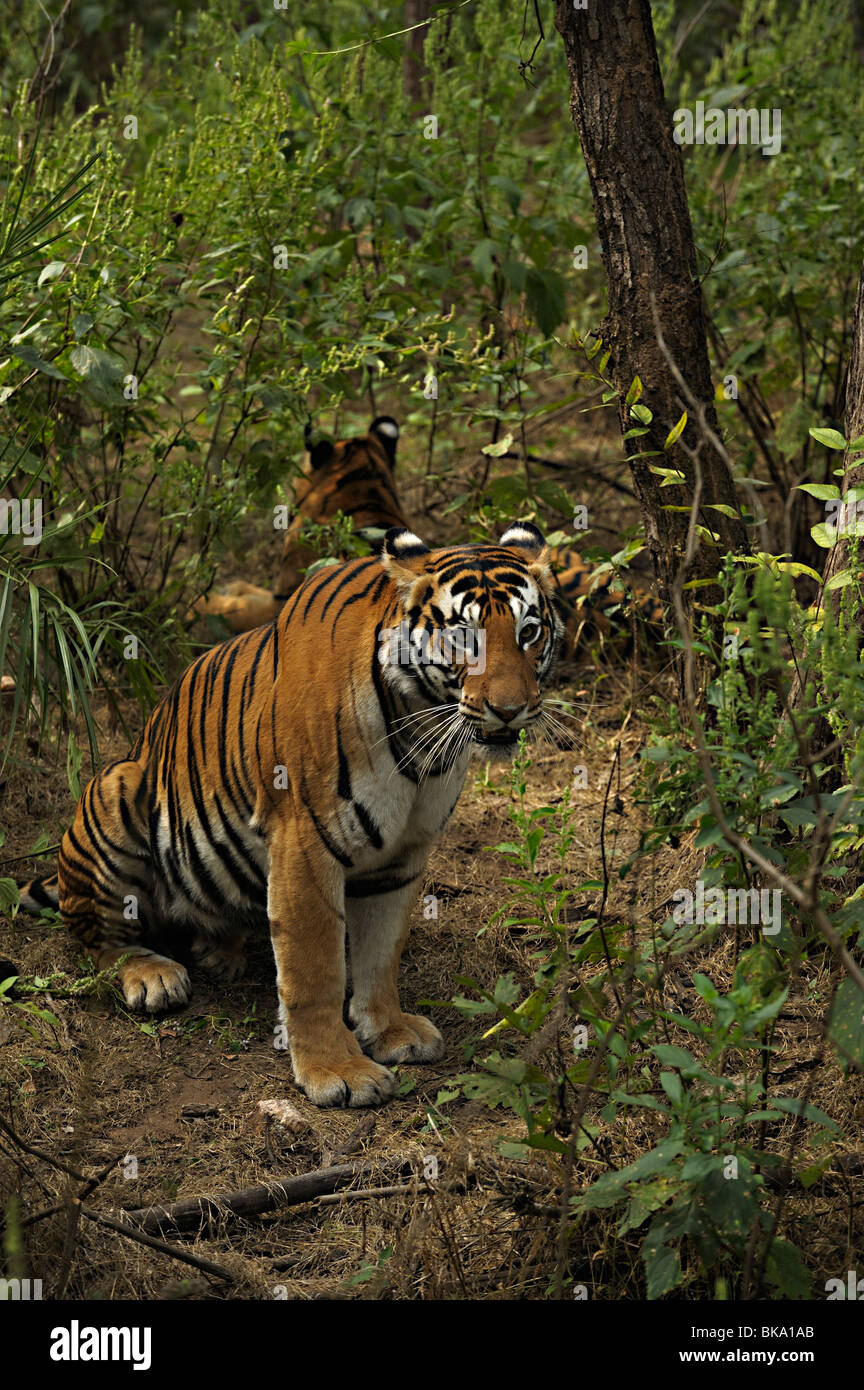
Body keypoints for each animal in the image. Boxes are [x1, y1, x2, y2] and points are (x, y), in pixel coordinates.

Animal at [17, 522, 563, 1107]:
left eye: (529, 632)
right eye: (465, 637)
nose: (510, 709)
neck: (418, 730)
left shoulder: (401, 857)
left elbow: (381, 954)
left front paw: (390, 1029)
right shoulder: (306, 841)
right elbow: (314, 968)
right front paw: (337, 1071)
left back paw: (219, 951)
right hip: (114, 790)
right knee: (97, 936)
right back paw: (152, 975)